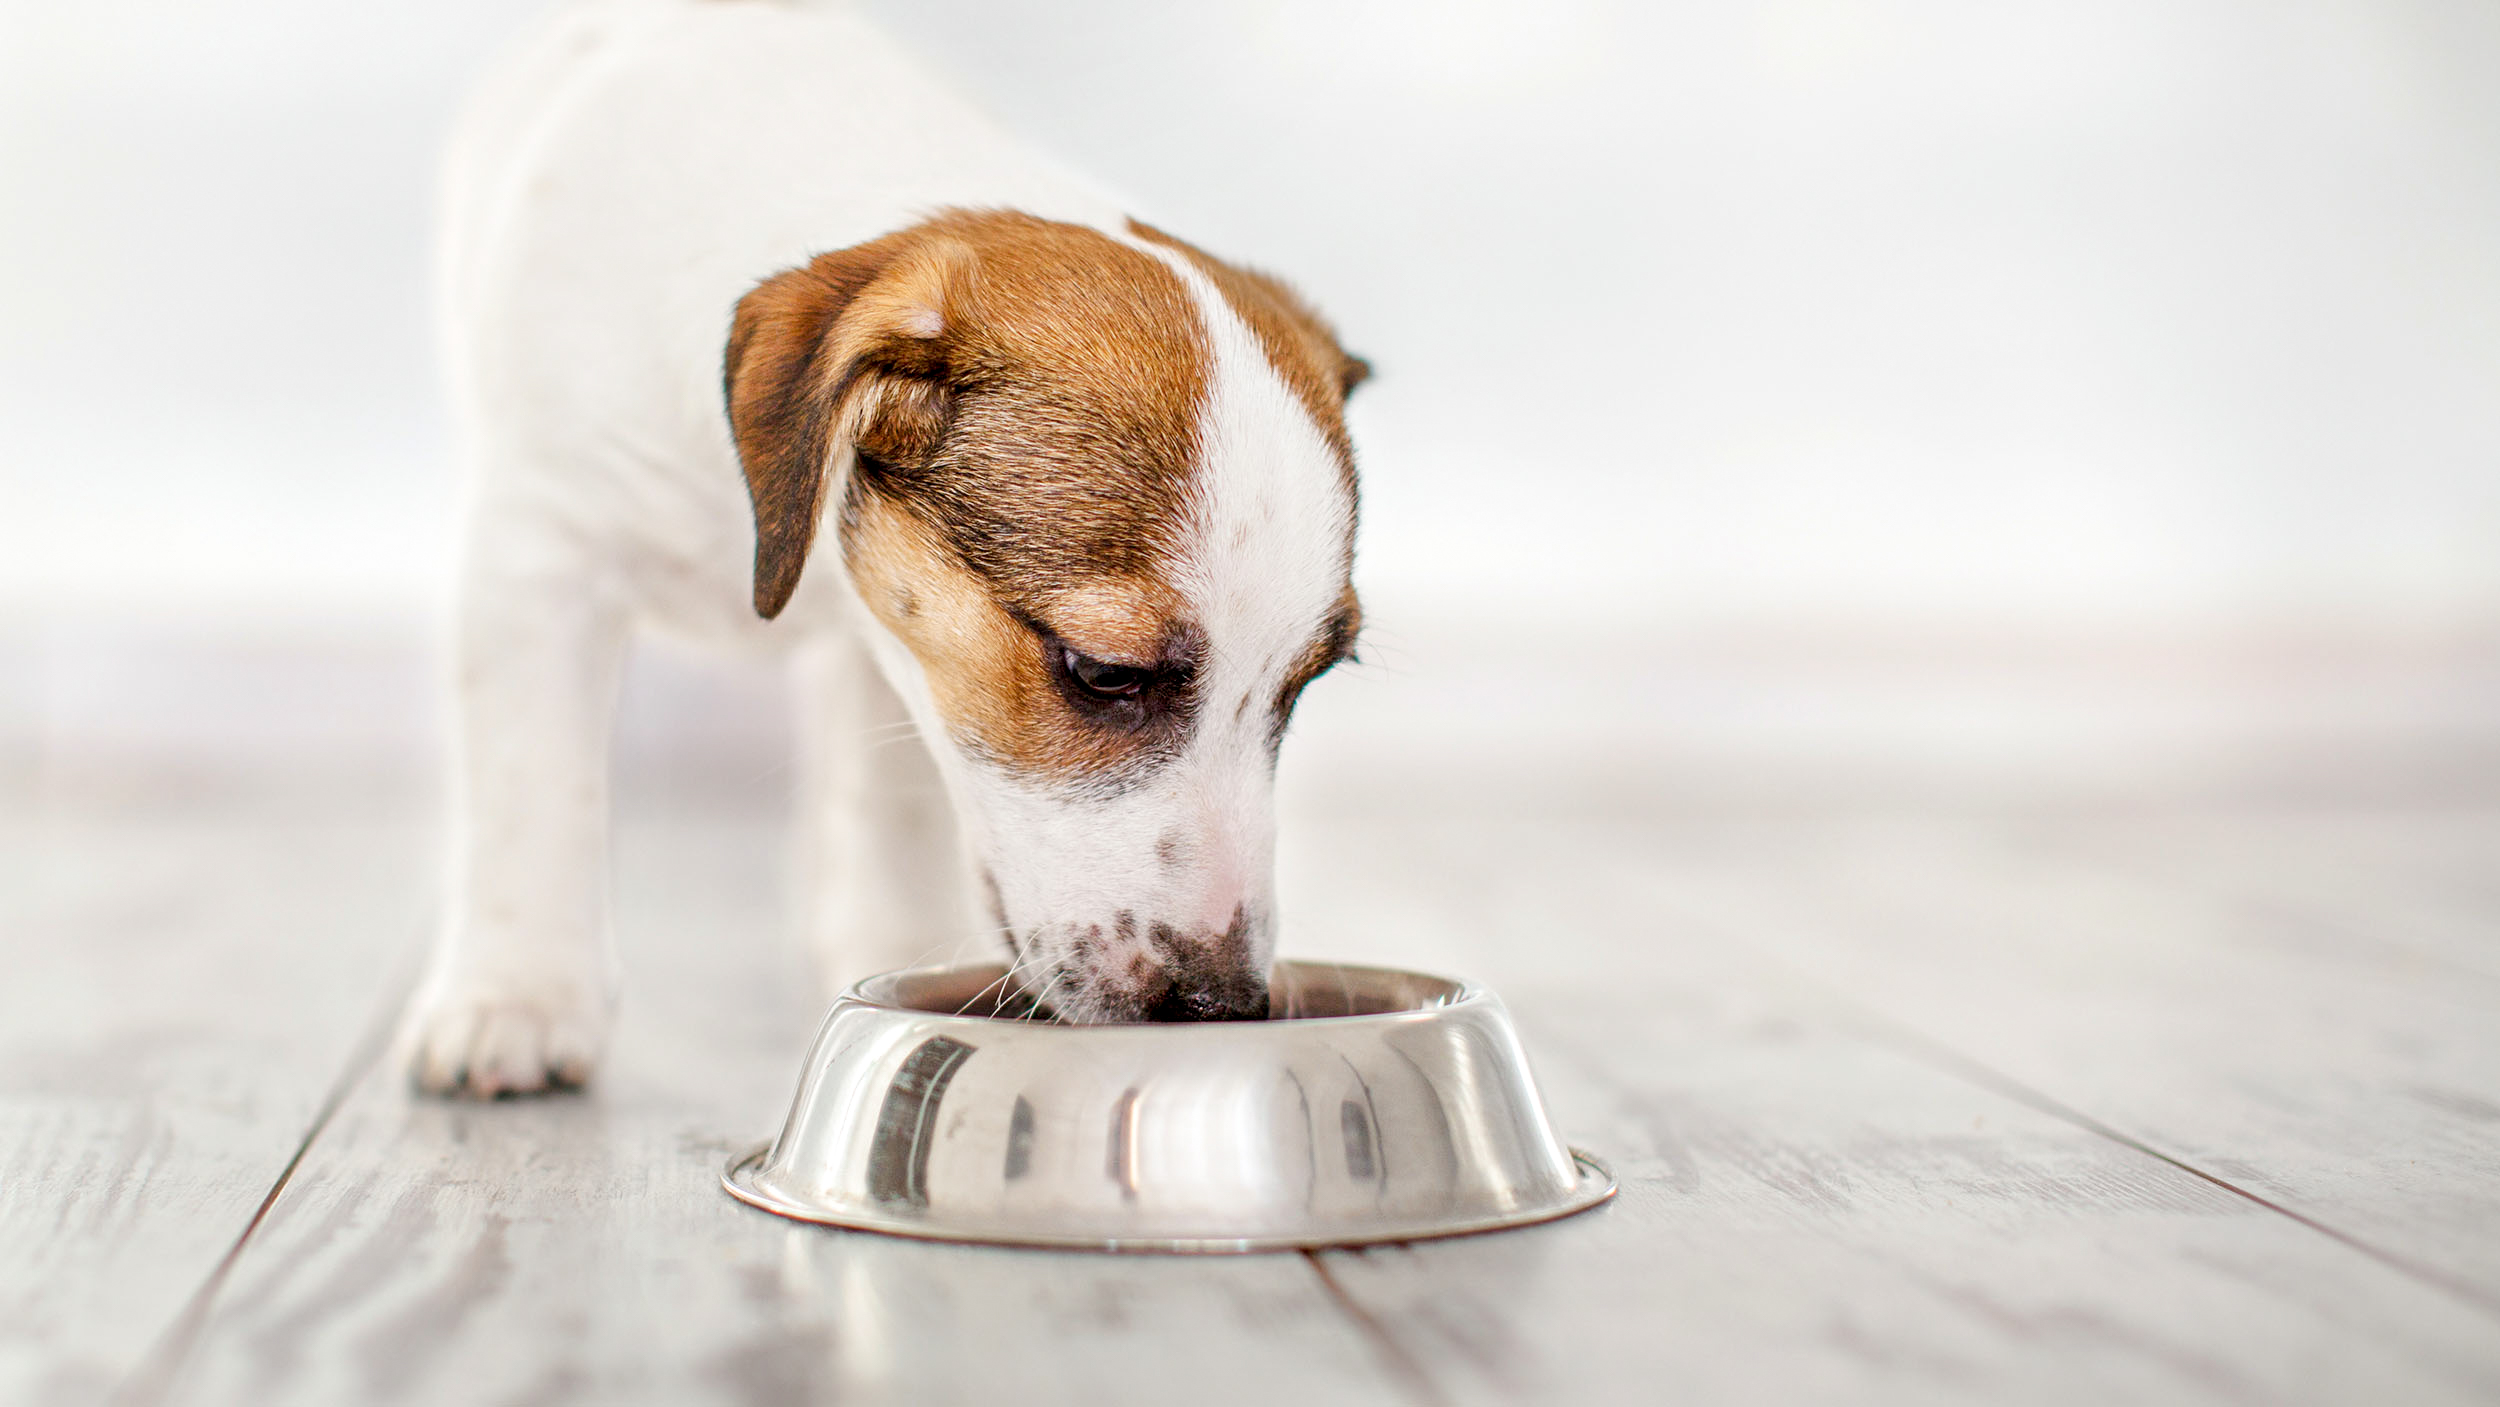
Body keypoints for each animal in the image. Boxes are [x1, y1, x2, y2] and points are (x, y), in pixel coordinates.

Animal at [402, 0, 1370, 1094]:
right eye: (1101, 672)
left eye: (1309, 681)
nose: (1220, 1004)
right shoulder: (541, 554)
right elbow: (533, 790)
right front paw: (516, 992)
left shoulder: (897, 645)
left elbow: (898, 802)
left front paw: (898, 947)